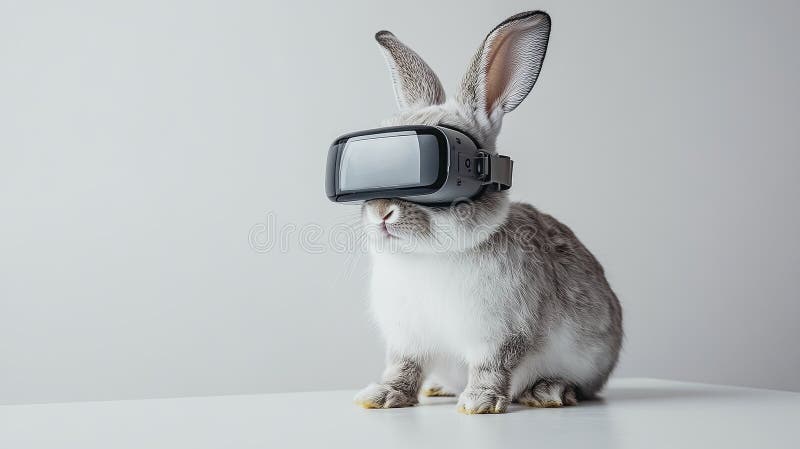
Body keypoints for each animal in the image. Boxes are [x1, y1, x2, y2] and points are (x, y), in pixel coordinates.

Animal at [351, 11, 623, 414]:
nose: (382, 211)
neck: (431, 255)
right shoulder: (408, 339)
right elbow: (403, 367)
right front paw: (380, 397)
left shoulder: (501, 333)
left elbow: (492, 366)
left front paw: (479, 403)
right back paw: (438, 389)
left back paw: (548, 392)